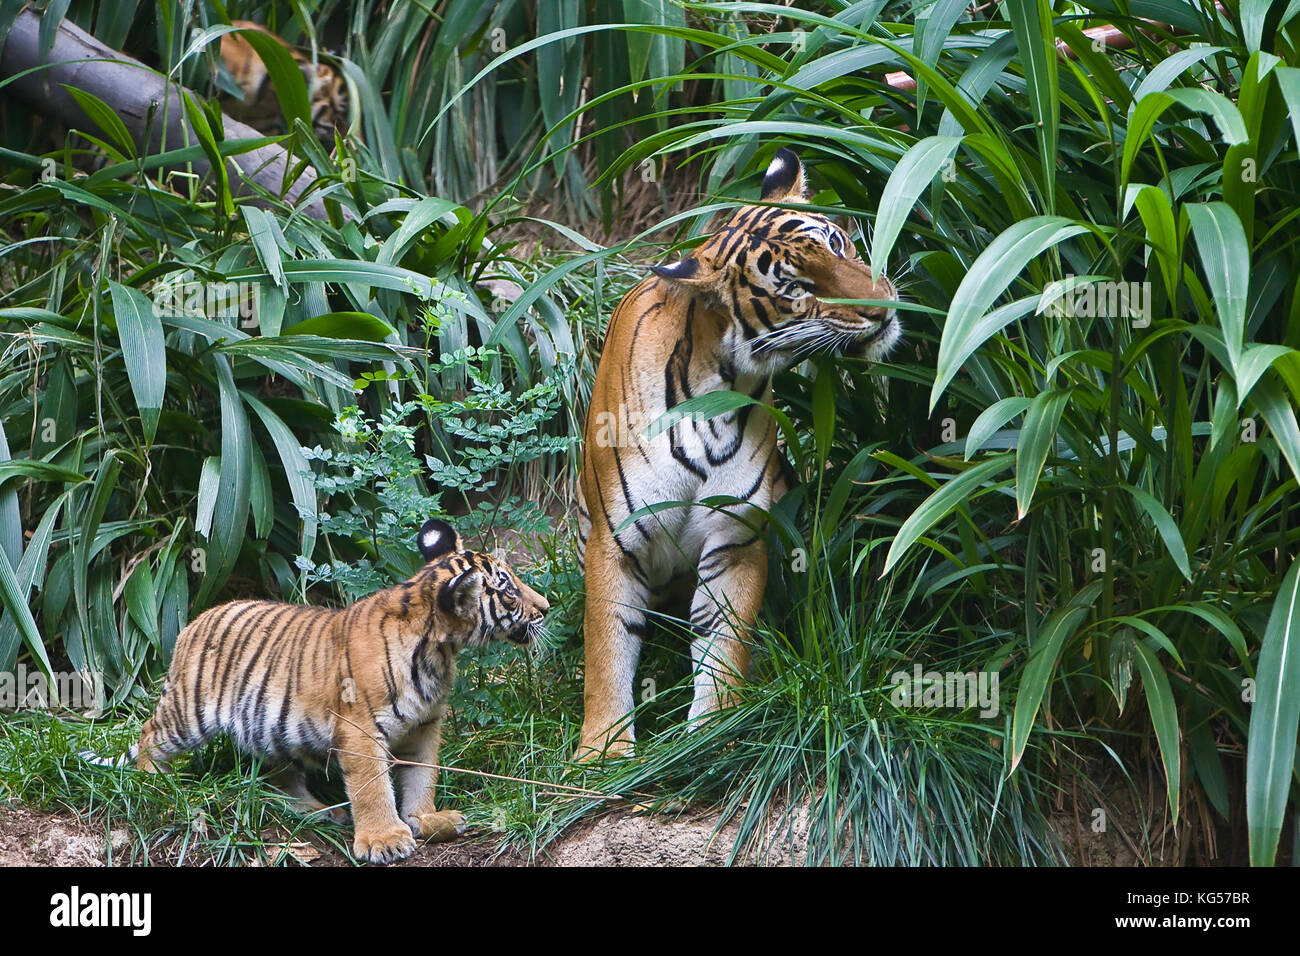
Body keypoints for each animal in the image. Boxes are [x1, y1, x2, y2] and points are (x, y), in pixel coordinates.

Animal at [81, 519, 549, 865]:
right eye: (508, 588)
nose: (545, 607)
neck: (438, 649)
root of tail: (193, 623)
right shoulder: (360, 730)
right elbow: (372, 787)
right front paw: (384, 840)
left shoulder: (425, 726)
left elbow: (422, 777)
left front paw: (428, 820)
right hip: (189, 714)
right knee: (149, 736)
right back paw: (155, 784)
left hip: (271, 728)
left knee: (278, 775)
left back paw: (314, 809)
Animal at [575, 147, 900, 760]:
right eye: (795, 286)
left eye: (839, 244)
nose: (884, 309)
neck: (720, 389)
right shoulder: (616, 542)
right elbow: (606, 650)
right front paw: (602, 754)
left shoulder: (736, 537)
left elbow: (724, 643)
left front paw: (713, 736)